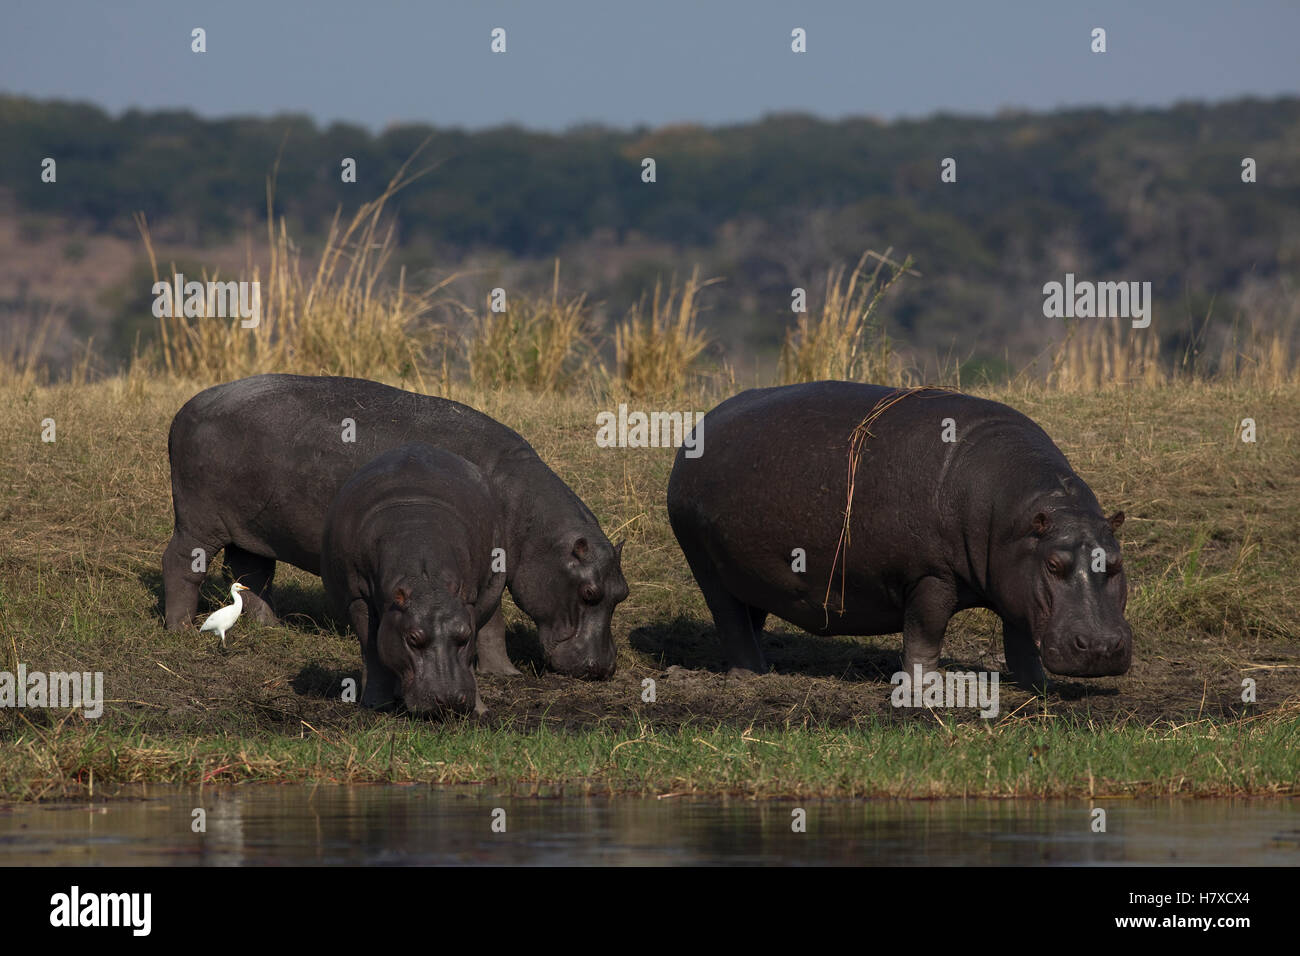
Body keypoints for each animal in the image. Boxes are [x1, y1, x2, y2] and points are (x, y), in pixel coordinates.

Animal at [164, 374, 627, 678]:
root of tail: (186, 407)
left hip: (254, 530)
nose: (603, 667)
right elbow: (491, 622)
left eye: (622, 593)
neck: (532, 522)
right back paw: (179, 628)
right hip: (199, 521)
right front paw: (507, 675)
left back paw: (272, 629)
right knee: (182, 563)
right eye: (589, 593)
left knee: (252, 573)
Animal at [321, 443, 505, 716]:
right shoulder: (358, 598)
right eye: (413, 639)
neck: (425, 582)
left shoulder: (468, 602)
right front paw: (376, 704)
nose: (450, 700)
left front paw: (480, 711)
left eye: (463, 636)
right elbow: (372, 649)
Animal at [666, 382, 1132, 689]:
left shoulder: (1015, 585)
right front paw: (924, 689)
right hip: (705, 565)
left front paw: (1037, 689)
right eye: (1053, 564)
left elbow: (1020, 641)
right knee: (729, 619)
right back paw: (750, 676)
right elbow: (925, 632)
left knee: (751, 614)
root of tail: (698, 429)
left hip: (746, 570)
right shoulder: (930, 575)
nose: (1100, 647)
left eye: (1115, 561)